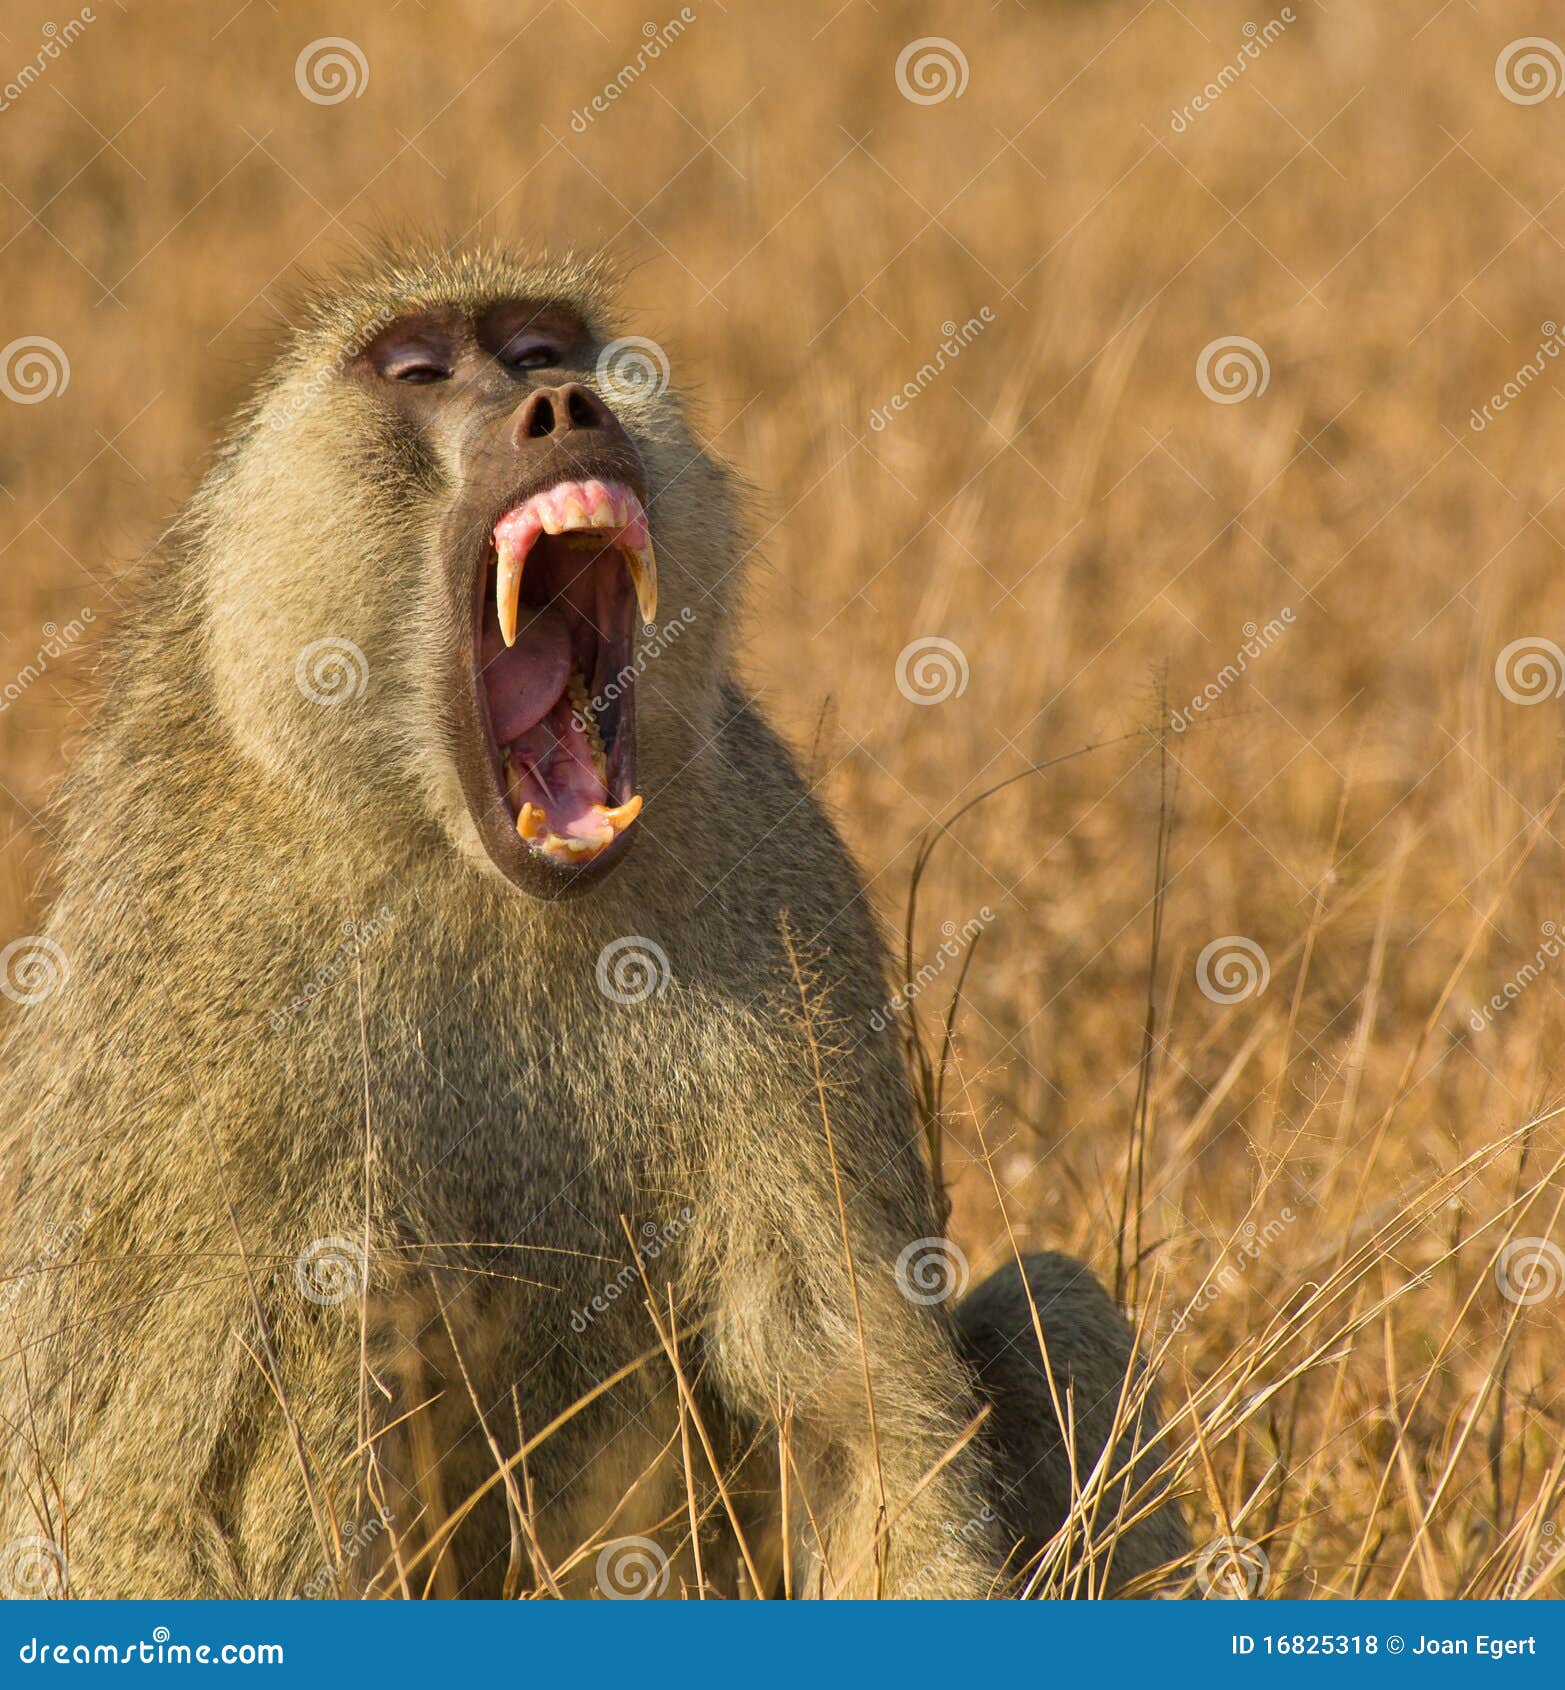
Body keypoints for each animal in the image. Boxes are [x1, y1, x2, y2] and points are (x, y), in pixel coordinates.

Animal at [0, 242, 1184, 1600]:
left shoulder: (769, 883)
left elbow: (842, 1398)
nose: (562, 404)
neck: (466, 864)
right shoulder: (194, 982)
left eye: (536, 350)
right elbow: (146, 1486)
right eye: (418, 371)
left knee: (1053, 1302)